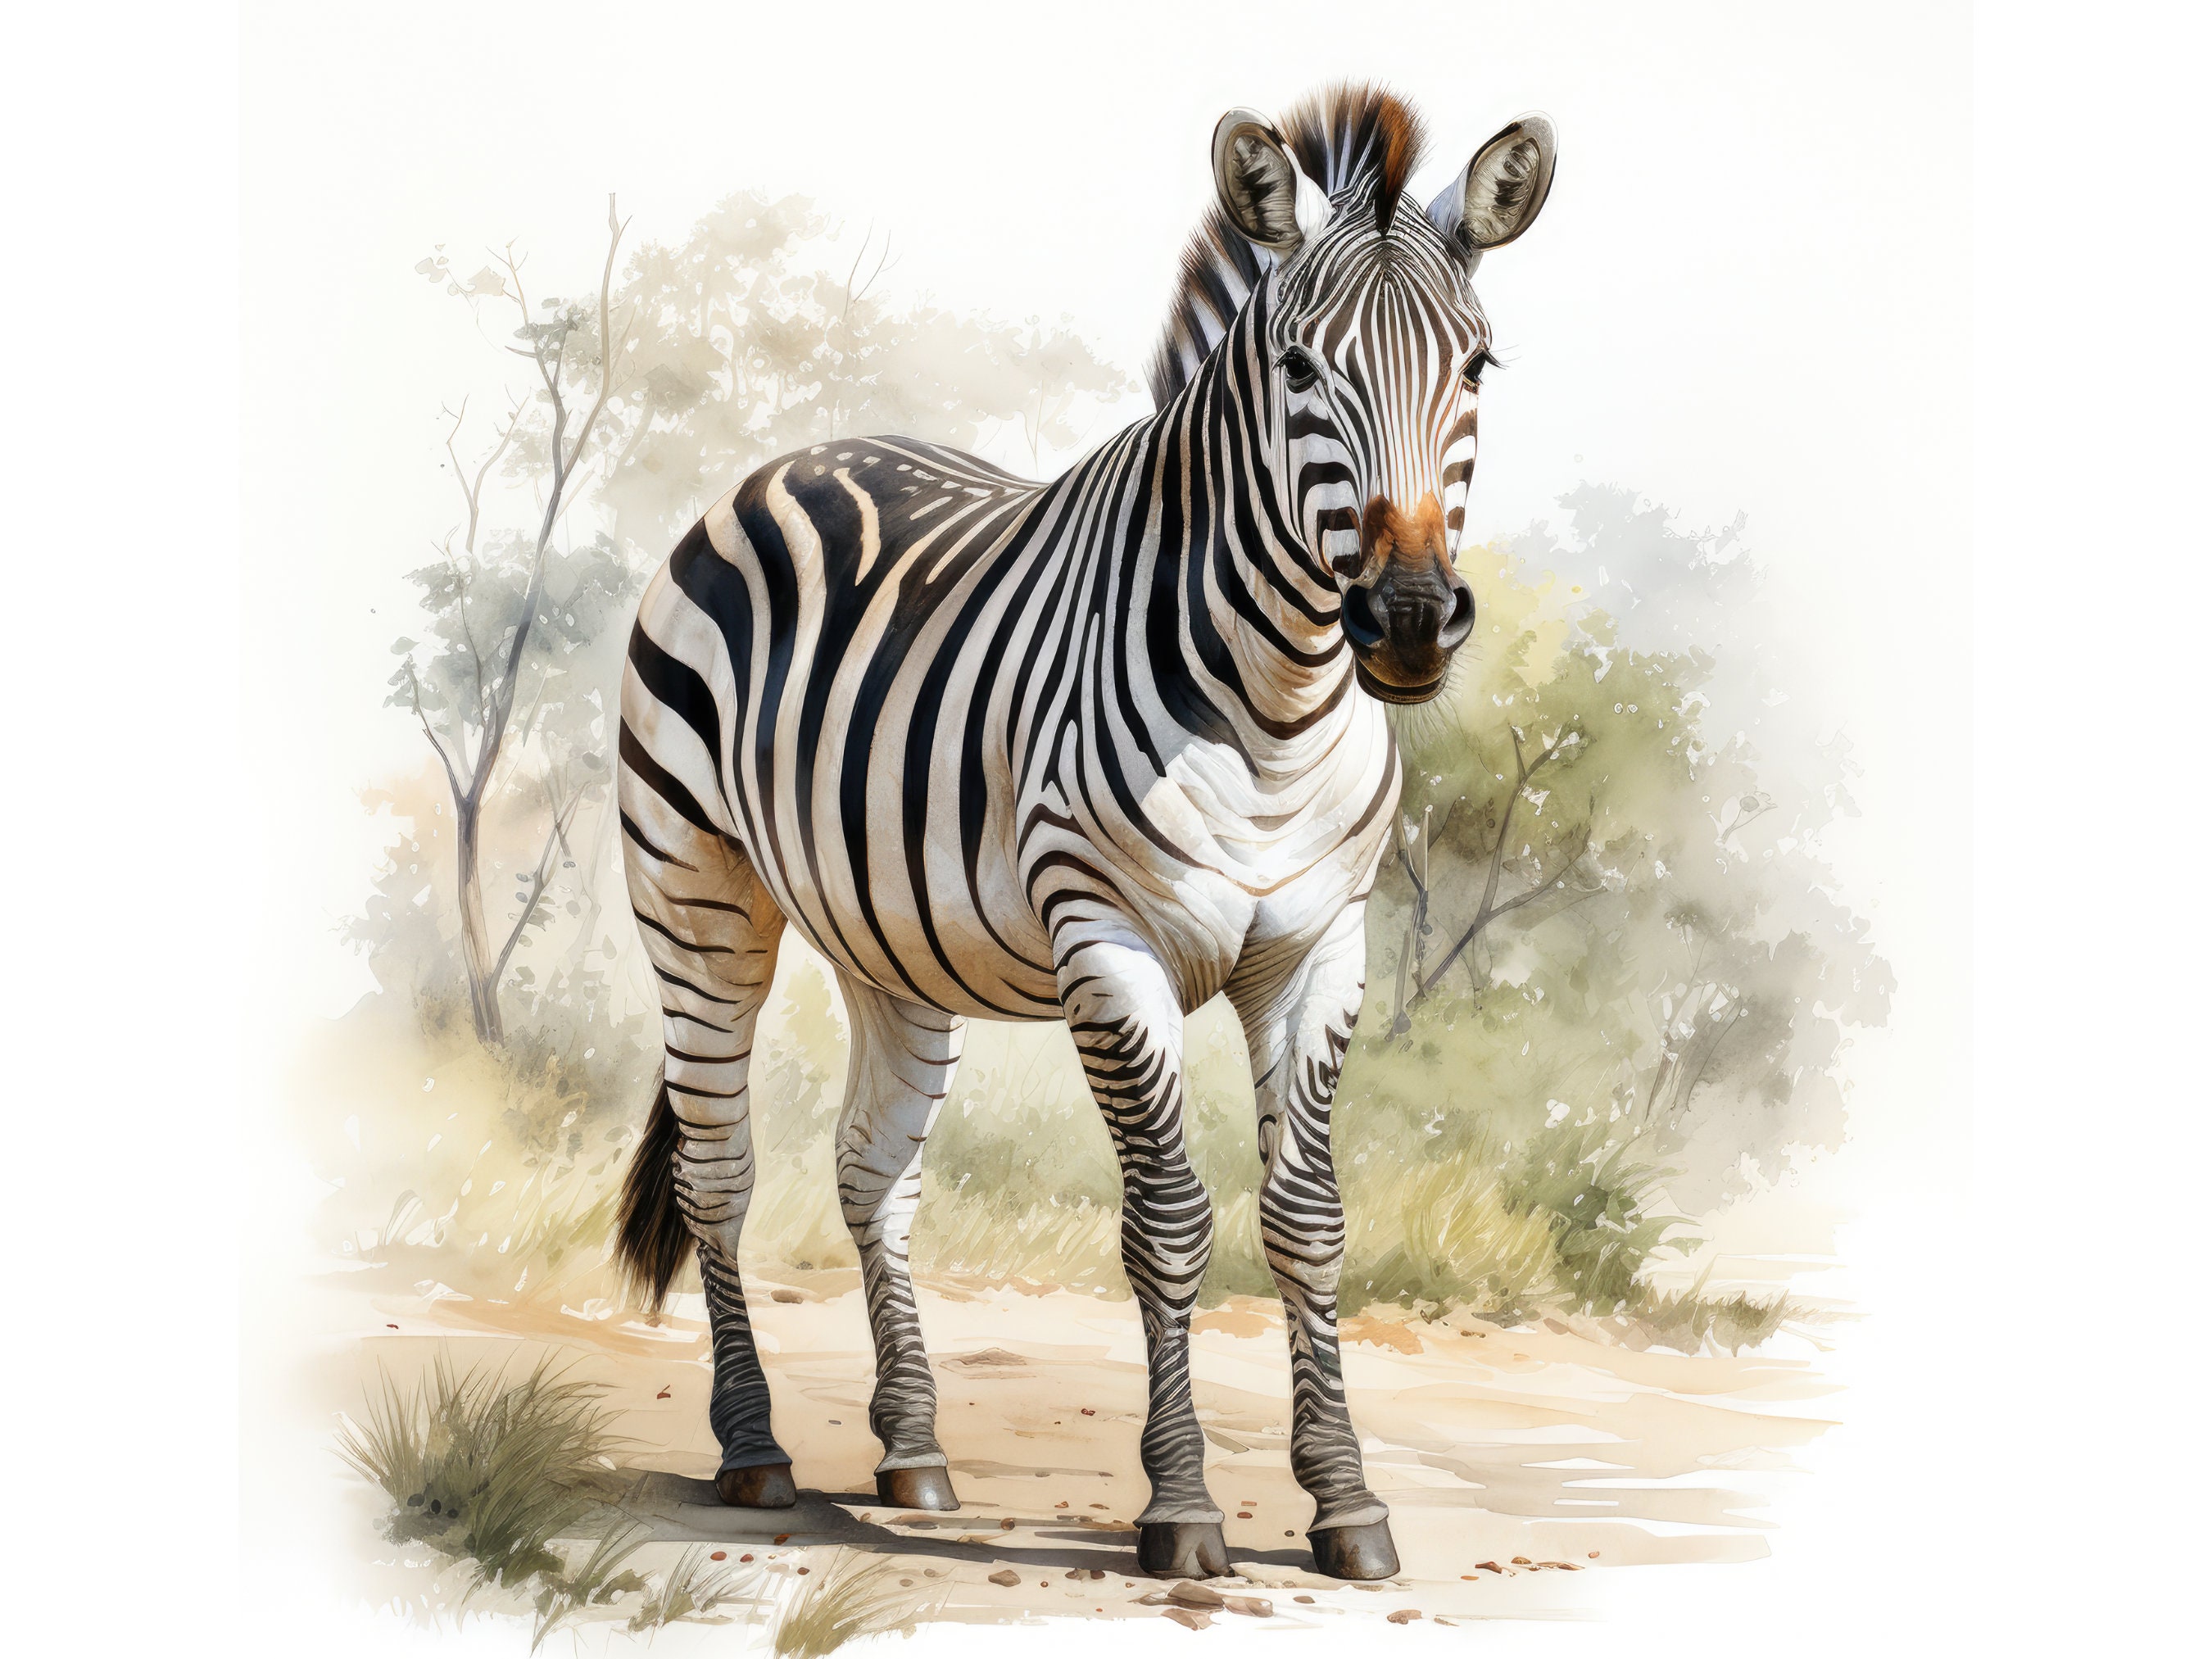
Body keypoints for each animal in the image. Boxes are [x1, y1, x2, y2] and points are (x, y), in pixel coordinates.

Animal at [612, 82, 1556, 1583]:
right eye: (1301, 368)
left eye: (1478, 367)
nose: (1409, 620)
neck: (1277, 704)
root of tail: (801, 456)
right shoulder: (1107, 944)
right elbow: (1168, 1224)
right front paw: (1182, 1508)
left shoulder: (1321, 947)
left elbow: (1309, 1222)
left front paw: (1347, 1502)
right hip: (696, 896)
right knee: (719, 1171)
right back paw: (753, 1448)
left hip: (890, 947)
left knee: (875, 1176)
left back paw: (915, 1449)